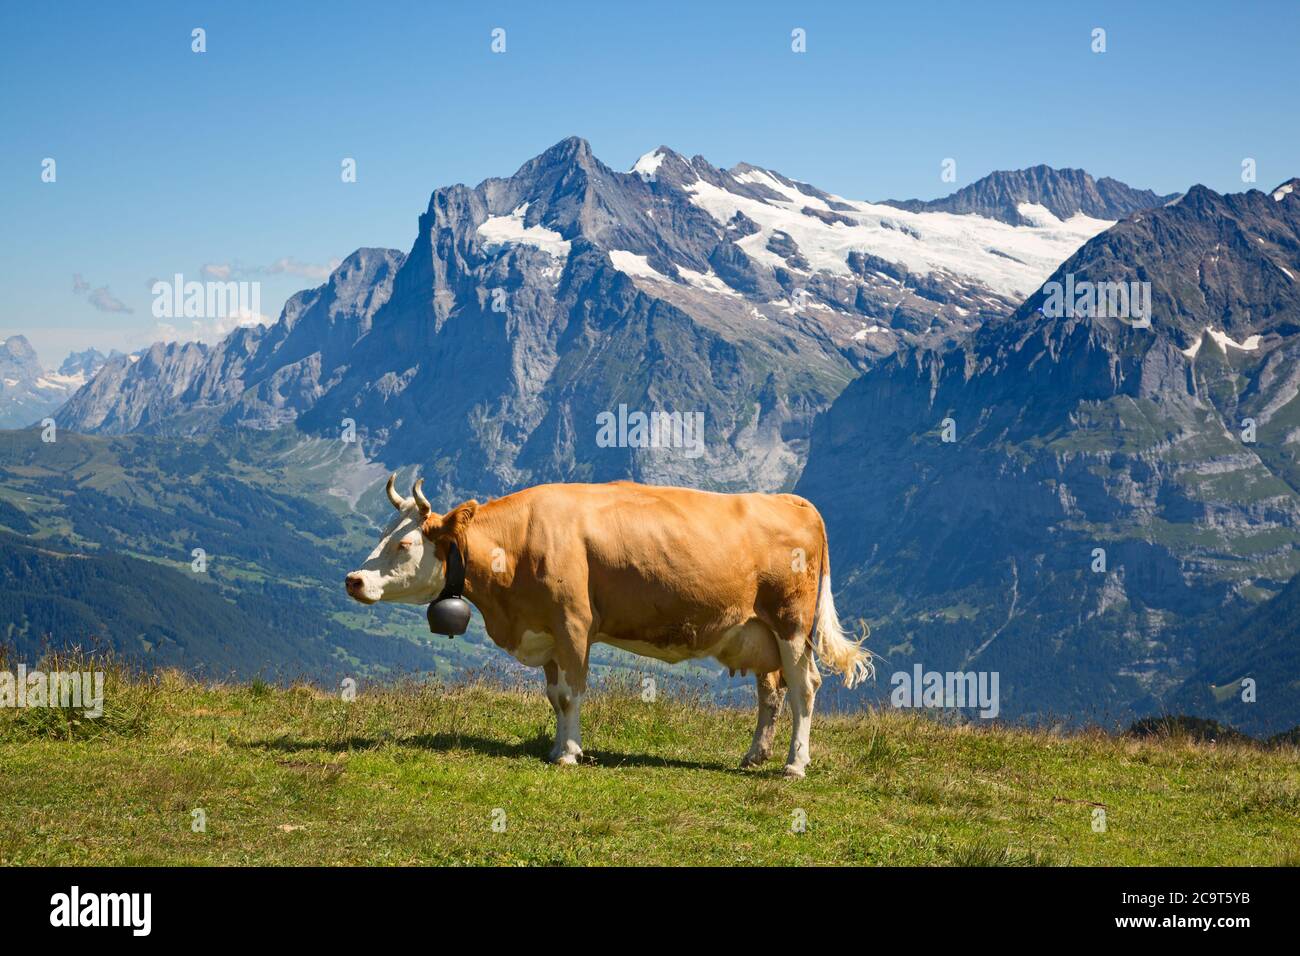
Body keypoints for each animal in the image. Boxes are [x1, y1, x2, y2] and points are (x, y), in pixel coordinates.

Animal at [345, 476, 871, 778]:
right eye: (382, 536)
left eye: (405, 544)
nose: (354, 579)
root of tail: (796, 502)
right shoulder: (547, 631)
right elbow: (554, 695)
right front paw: (556, 746)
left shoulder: (573, 624)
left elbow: (571, 693)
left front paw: (570, 753)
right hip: (759, 632)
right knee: (771, 691)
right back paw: (754, 755)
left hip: (791, 625)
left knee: (804, 687)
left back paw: (794, 764)